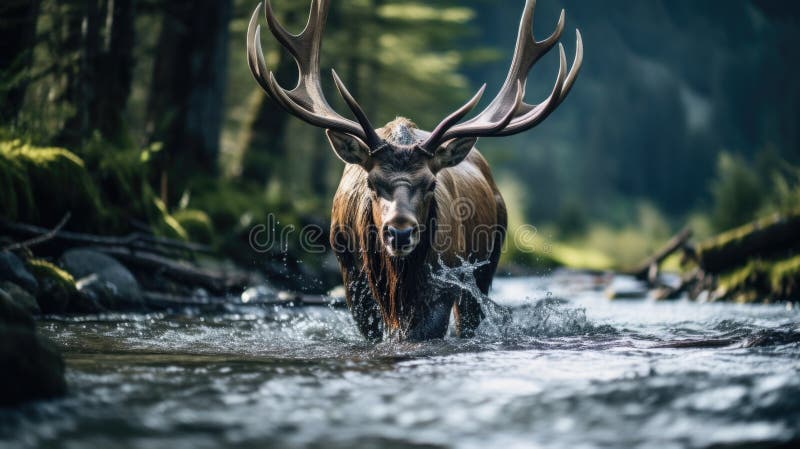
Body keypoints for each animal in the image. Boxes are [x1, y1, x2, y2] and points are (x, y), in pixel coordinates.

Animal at [246, 0, 582, 341]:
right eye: (371, 183)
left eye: (432, 184)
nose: (400, 232)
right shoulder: (353, 282)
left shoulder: (443, 284)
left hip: (487, 261)